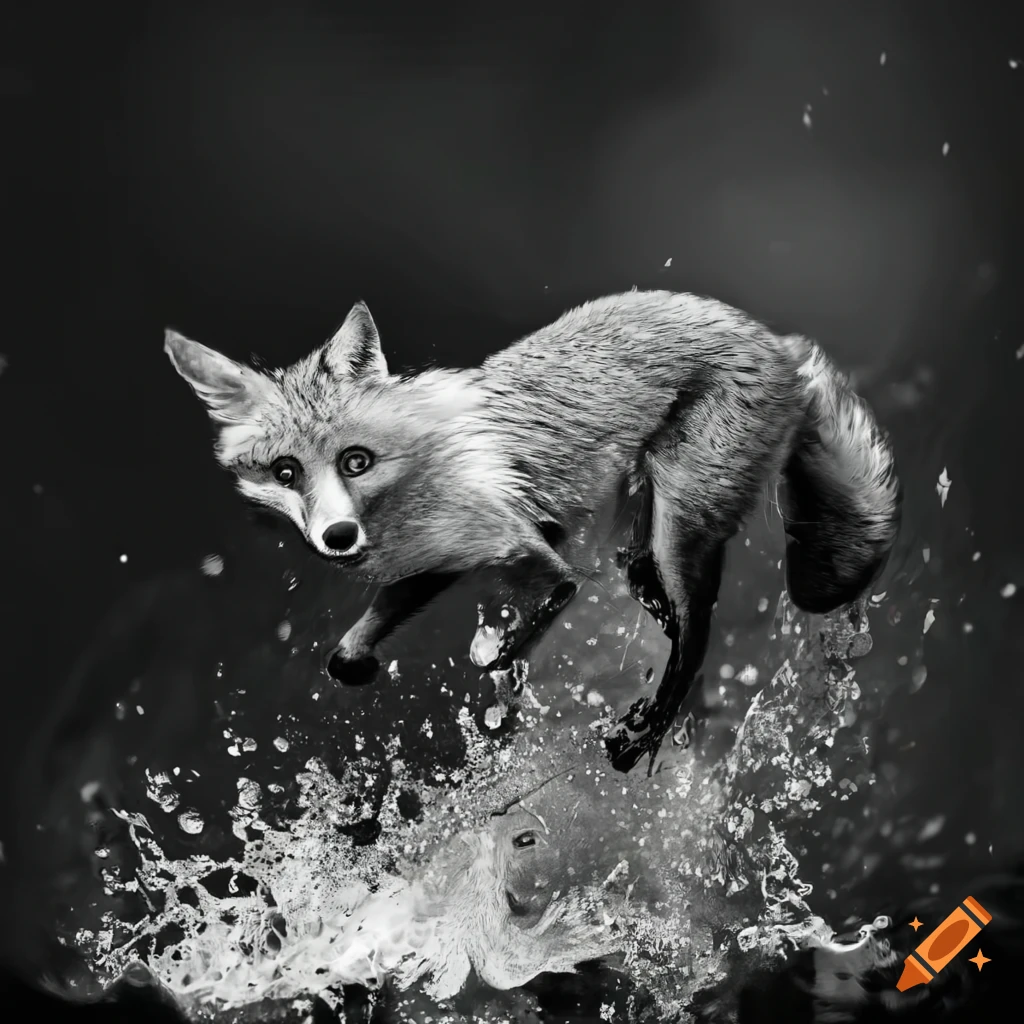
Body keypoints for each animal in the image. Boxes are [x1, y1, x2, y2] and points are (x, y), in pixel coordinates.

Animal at [164, 289, 901, 773]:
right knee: (660, 593)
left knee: (696, 637)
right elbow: (346, 654)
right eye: (285, 472)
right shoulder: (436, 565)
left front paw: (503, 678)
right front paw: (366, 664)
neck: (411, 483)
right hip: (652, 521)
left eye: (354, 461)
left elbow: (521, 632)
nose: (337, 538)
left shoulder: (531, 551)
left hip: (680, 519)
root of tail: (780, 342)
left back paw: (647, 730)